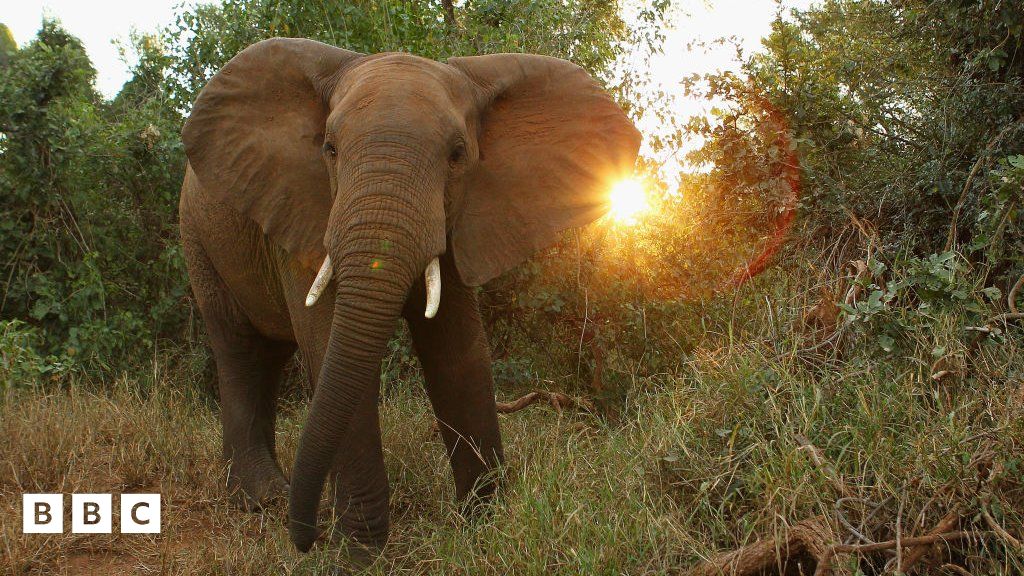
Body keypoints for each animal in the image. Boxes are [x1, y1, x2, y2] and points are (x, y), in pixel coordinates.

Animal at [178, 37, 640, 556]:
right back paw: (263, 499)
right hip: (198, 236)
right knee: (240, 350)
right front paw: (360, 553)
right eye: (329, 149)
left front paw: (485, 524)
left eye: (458, 154)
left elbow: (458, 351)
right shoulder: (305, 209)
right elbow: (329, 343)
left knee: (267, 356)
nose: (306, 540)